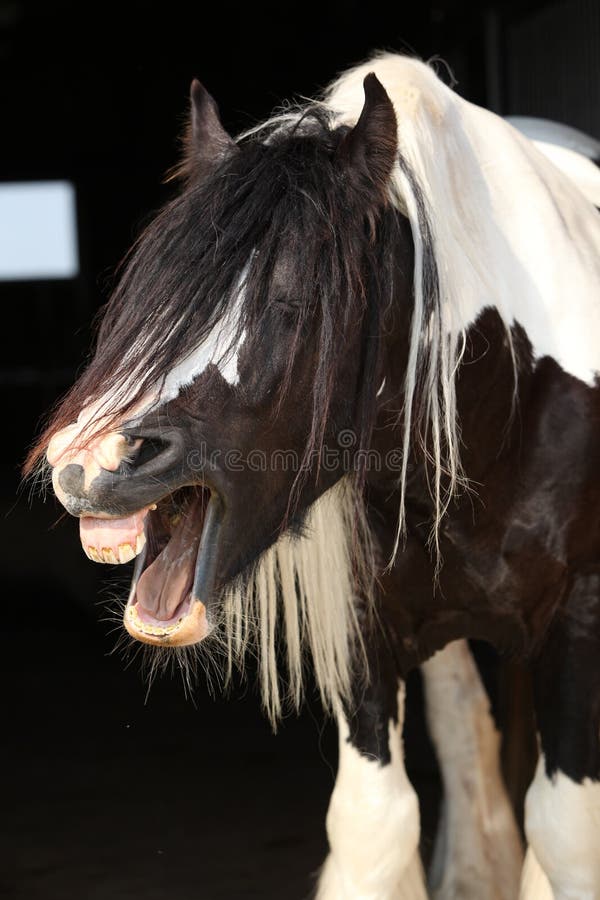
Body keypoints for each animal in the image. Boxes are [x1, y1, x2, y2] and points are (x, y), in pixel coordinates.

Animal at [27, 53, 600, 898]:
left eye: (294, 305)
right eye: (143, 299)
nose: (88, 462)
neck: (505, 398)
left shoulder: (580, 620)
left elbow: (566, 835)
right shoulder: (365, 633)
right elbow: (374, 825)